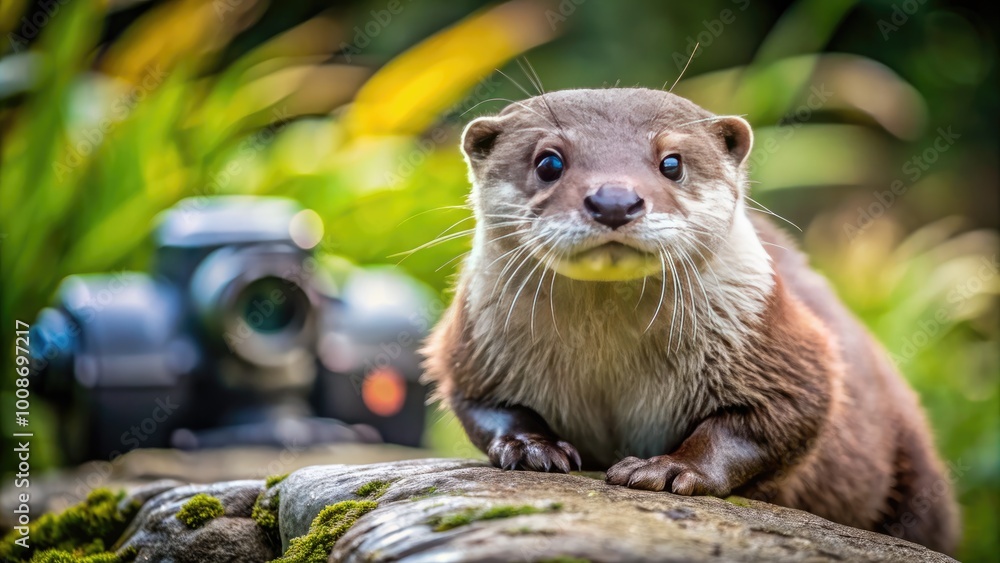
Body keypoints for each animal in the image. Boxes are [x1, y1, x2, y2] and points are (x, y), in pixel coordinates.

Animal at [421, 88, 959, 554]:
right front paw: (530, 446)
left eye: (672, 162)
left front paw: (669, 469)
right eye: (549, 161)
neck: (609, 365)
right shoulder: (470, 348)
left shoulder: (791, 355)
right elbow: (486, 404)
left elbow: (766, 421)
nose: (614, 200)